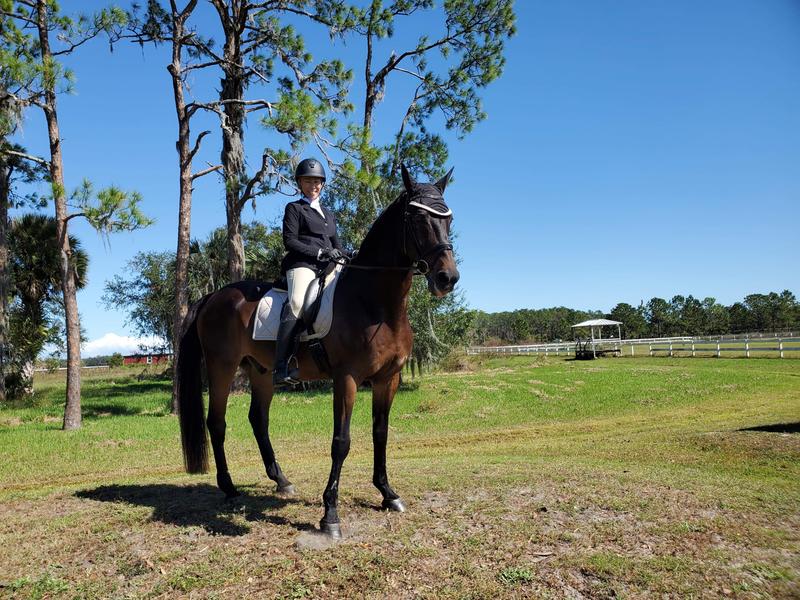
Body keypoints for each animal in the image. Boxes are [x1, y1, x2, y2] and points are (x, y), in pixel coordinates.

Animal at [175, 164, 459, 538]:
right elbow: (341, 442)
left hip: (261, 371)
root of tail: (213, 296)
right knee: (217, 423)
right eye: (417, 218)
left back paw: (281, 480)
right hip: (222, 367)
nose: (447, 278)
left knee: (258, 420)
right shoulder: (346, 378)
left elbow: (380, 433)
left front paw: (388, 494)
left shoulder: (388, 378)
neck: (375, 303)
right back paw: (230, 489)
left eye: (448, 219)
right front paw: (330, 516)